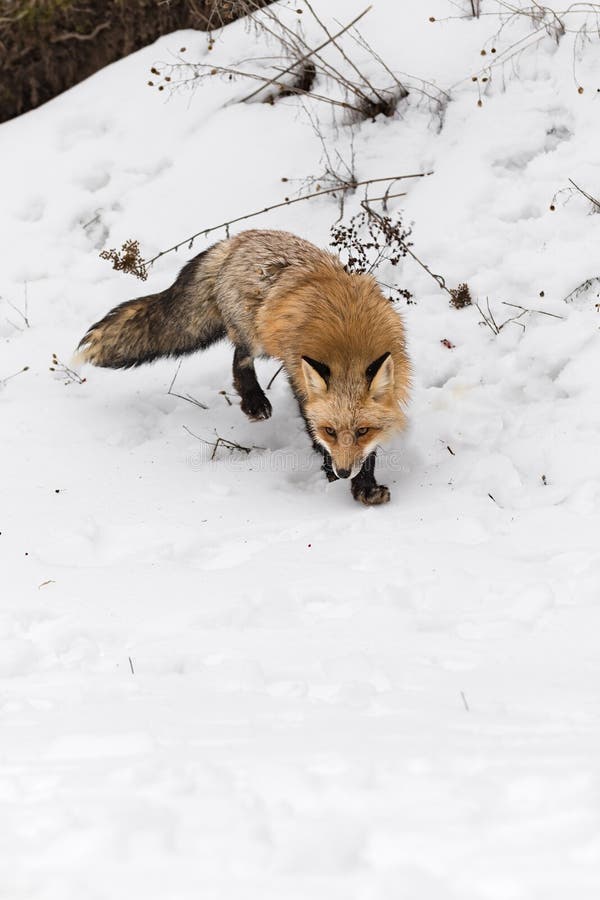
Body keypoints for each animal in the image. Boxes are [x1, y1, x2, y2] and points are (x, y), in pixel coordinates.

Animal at [76, 229, 410, 505]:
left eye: (363, 430)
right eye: (330, 430)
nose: (342, 472)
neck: (348, 345)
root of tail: (237, 239)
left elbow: (369, 450)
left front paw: (365, 485)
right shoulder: (297, 372)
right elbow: (309, 420)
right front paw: (333, 466)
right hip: (255, 337)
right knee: (239, 358)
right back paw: (253, 400)